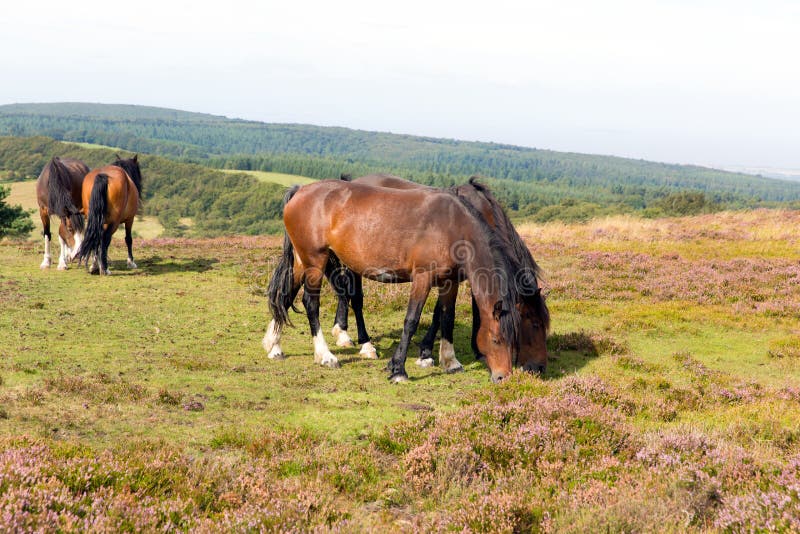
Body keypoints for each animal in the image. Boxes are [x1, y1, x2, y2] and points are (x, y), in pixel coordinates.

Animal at [263, 180, 522, 383]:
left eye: (514, 341)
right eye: (496, 339)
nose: (504, 377)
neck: (452, 226)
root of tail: (300, 190)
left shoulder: (449, 282)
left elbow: (447, 317)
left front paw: (450, 362)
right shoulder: (422, 278)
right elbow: (411, 320)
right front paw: (398, 369)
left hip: (302, 261)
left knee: (285, 294)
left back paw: (274, 346)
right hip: (316, 261)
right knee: (310, 303)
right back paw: (326, 355)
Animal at [328, 174, 550, 374]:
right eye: (535, 324)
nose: (538, 368)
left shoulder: (454, 278)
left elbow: (445, 314)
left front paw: (443, 356)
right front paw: (424, 356)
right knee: (353, 298)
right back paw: (359, 341)